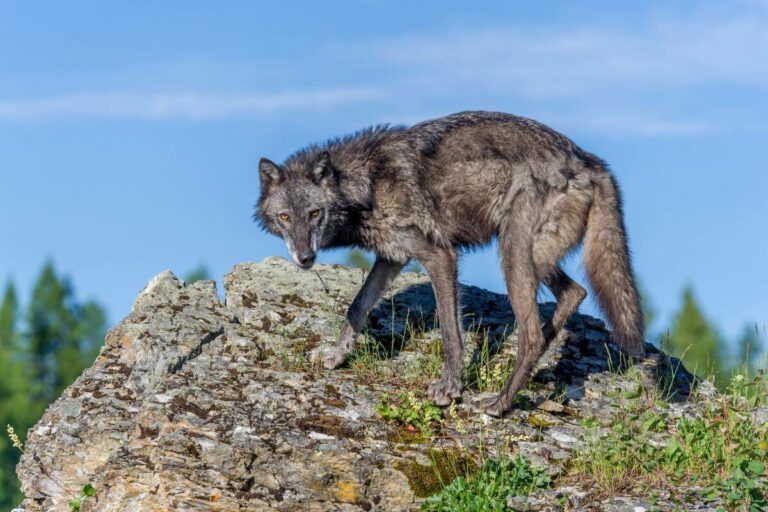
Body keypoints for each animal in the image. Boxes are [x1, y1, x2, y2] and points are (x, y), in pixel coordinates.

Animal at [255, 111, 645, 417]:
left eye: (314, 214)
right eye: (286, 216)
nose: (305, 258)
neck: (368, 185)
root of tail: (590, 161)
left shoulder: (440, 256)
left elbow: (449, 331)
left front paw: (450, 389)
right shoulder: (392, 258)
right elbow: (357, 307)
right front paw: (337, 357)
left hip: (514, 254)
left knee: (533, 333)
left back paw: (501, 403)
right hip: (536, 258)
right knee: (574, 293)